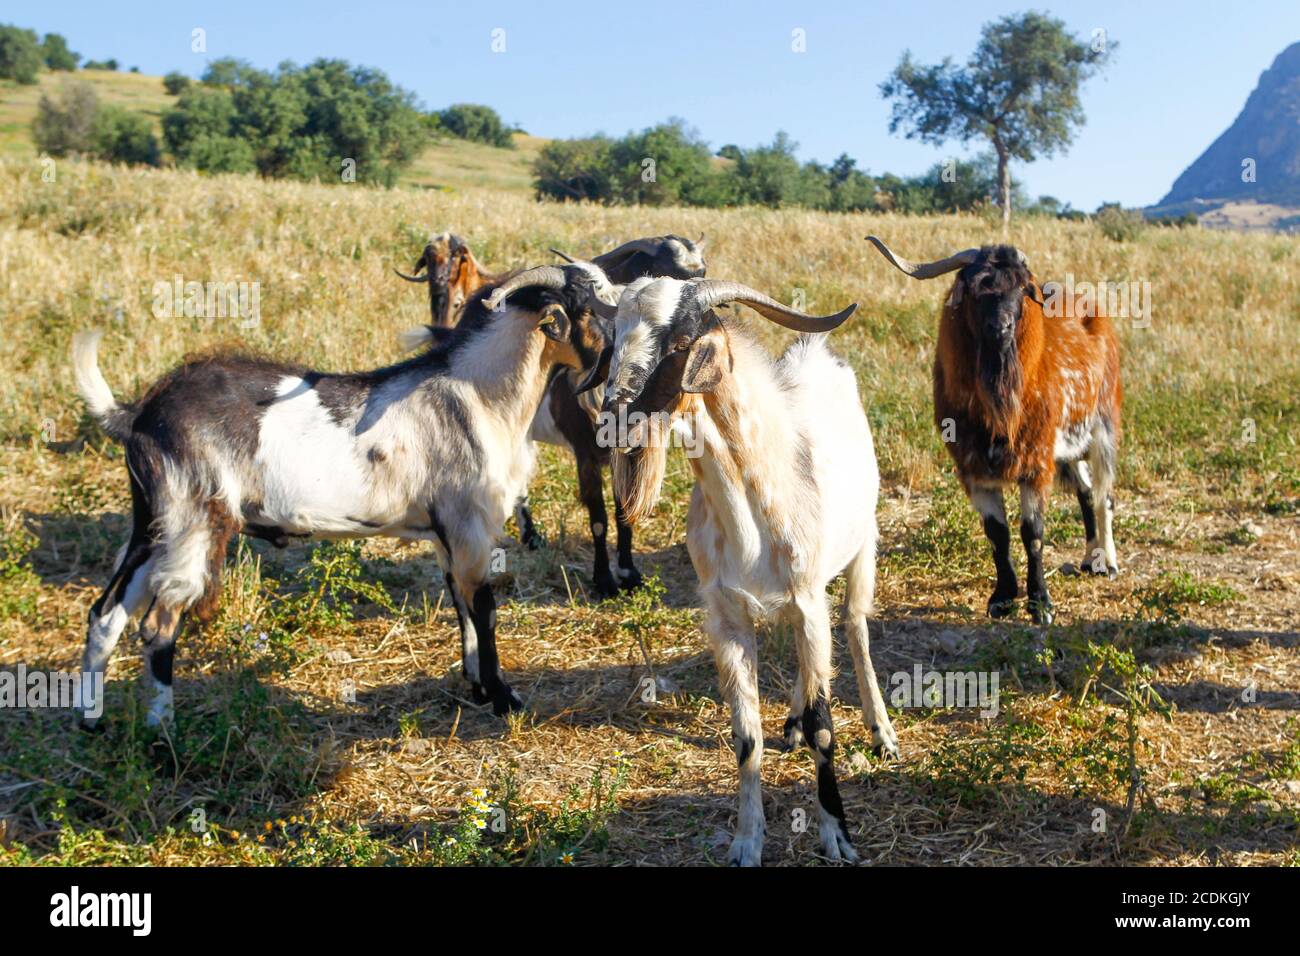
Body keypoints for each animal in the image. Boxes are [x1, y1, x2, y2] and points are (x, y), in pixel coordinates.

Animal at [70, 262, 619, 727]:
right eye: (595, 311)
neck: (476, 397)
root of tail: (138, 416)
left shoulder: (448, 533)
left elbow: (460, 604)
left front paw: (478, 687)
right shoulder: (471, 524)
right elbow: (482, 607)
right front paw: (504, 697)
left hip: (153, 521)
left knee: (106, 612)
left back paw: (91, 721)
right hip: (194, 521)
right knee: (158, 625)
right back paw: (162, 735)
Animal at [398, 234, 707, 597]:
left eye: (701, 272)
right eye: (584, 310)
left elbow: (622, 511)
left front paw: (629, 573)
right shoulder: (585, 454)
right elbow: (599, 518)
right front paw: (604, 581)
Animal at [591, 276, 892, 866]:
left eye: (680, 342)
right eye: (613, 337)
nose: (615, 422)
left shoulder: (808, 600)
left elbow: (826, 727)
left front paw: (837, 835)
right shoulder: (727, 618)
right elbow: (746, 734)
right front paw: (746, 842)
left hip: (861, 549)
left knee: (855, 629)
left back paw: (880, 731)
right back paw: (792, 722)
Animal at [866, 237, 1123, 624]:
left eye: (1021, 288)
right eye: (975, 289)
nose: (1000, 328)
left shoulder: (1036, 463)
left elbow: (1033, 533)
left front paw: (1040, 604)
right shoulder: (975, 470)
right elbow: (997, 533)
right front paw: (1002, 598)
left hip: (1102, 425)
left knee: (1104, 492)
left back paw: (1107, 561)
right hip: (1068, 446)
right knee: (1085, 491)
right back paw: (1089, 556)